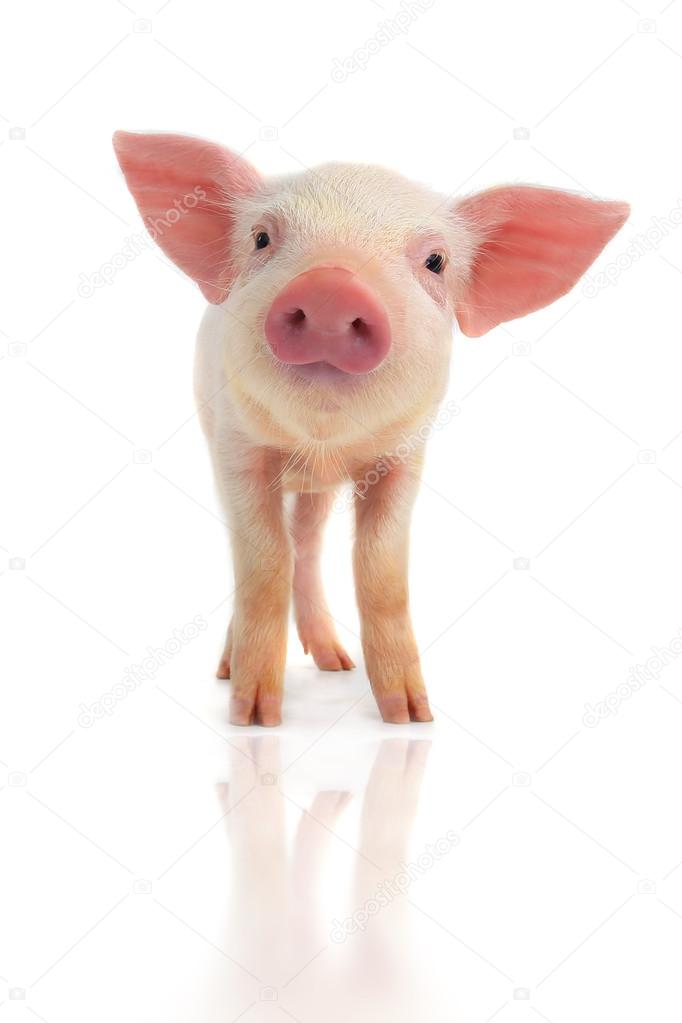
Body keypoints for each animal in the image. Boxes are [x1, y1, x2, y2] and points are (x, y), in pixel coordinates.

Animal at [113, 131, 629, 727]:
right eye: (262, 237)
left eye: (435, 261)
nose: (331, 288)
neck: (322, 442)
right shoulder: (237, 450)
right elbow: (263, 564)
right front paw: (254, 720)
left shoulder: (405, 455)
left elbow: (381, 569)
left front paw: (411, 717)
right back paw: (230, 669)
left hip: (315, 495)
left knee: (307, 542)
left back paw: (335, 663)